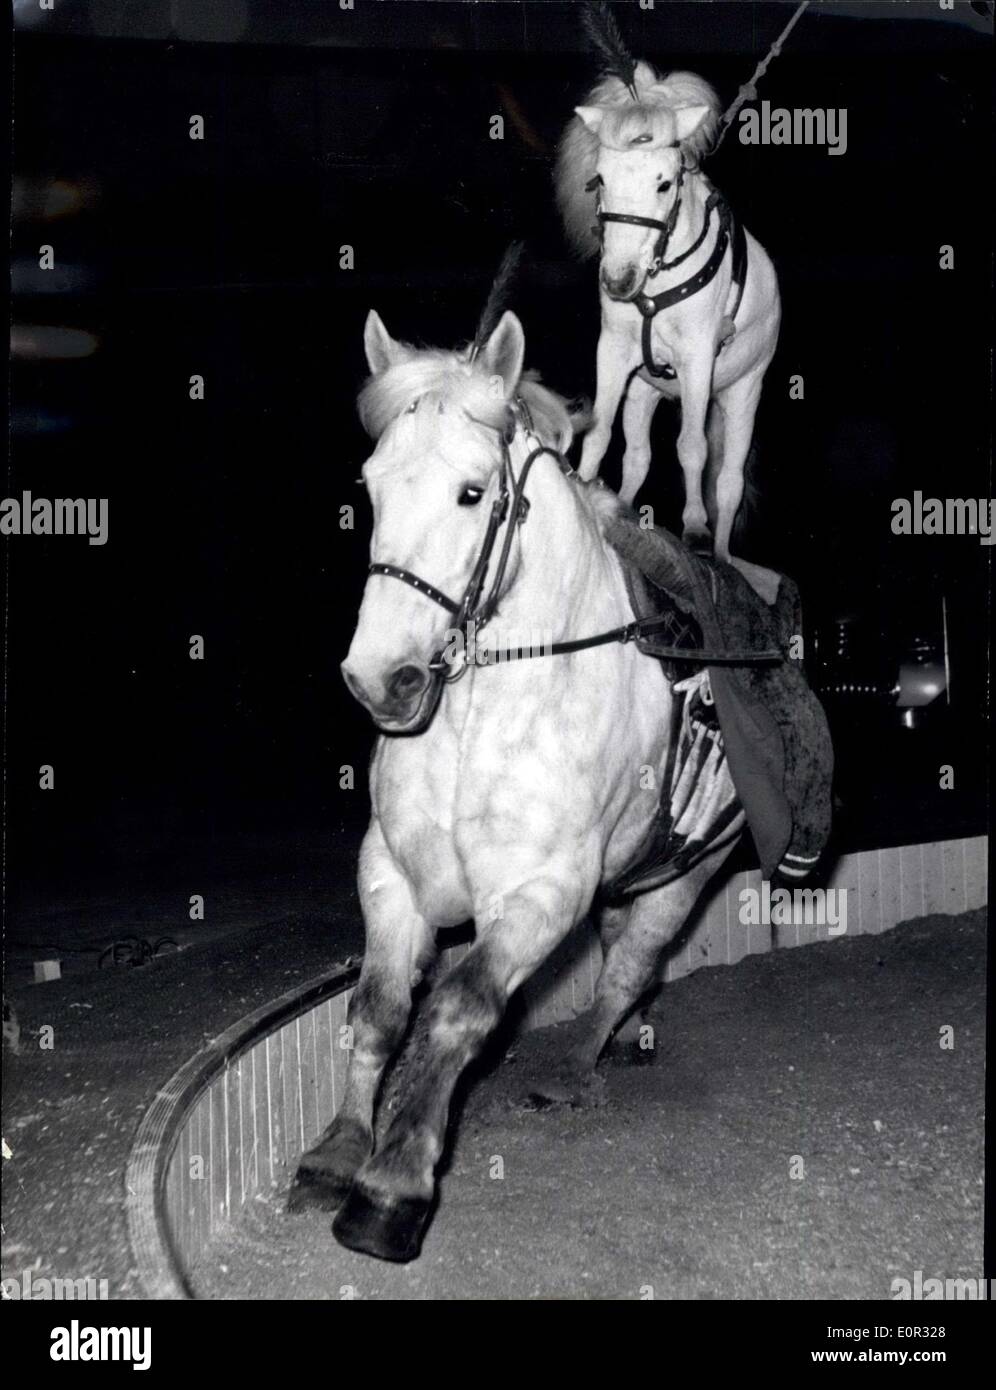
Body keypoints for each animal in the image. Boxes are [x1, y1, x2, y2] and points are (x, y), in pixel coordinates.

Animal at [288, 303, 746, 1263]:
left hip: (685, 877)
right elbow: (379, 1008)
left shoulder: (540, 894)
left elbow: (458, 1009)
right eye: (372, 487)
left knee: (629, 966)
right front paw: (340, 1150)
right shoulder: (391, 874)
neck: (480, 722)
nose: (378, 679)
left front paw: (393, 1184)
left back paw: (576, 1070)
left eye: (471, 492)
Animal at [556, 59, 781, 560]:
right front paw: (582, 482)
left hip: (744, 391)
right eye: (601, 178)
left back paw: (721, 553)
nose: (618, 282)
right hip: (645, 390)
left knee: (729, 481)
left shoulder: (697, 360)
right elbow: (601, 430)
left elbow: (692, 447)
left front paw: (694, 527)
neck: (655, 284)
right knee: (638, 458)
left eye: (663, 183)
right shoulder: (613, 350)